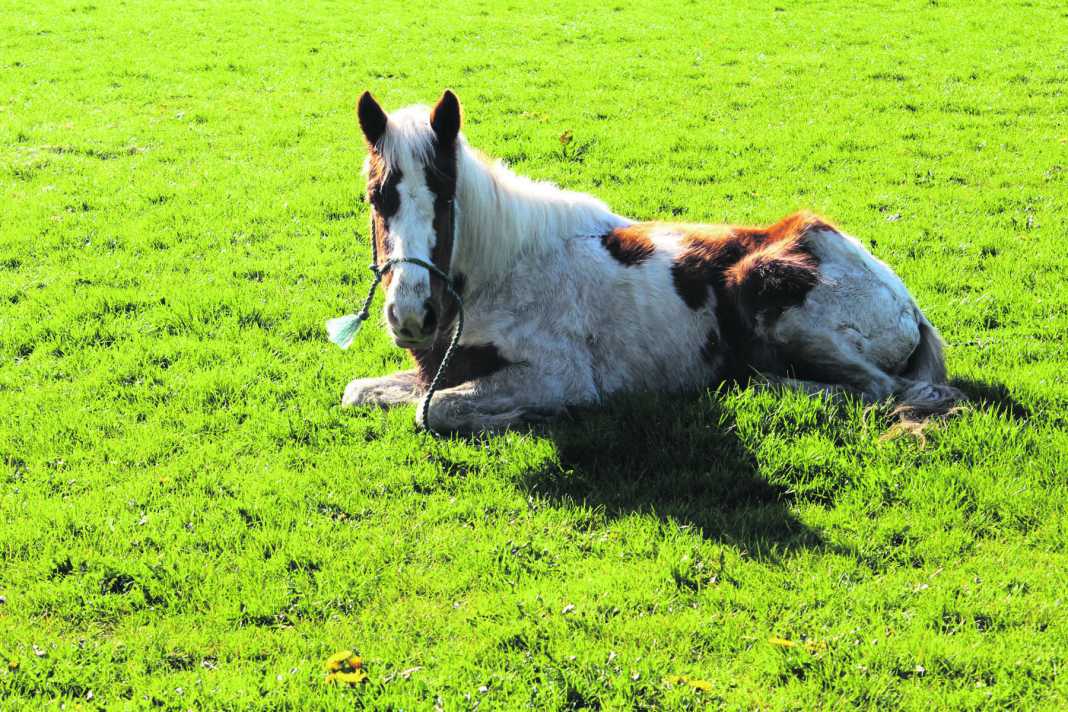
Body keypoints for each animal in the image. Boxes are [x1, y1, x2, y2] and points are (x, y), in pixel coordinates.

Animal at [338, 90, 963, 433]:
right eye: (377, 197)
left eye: (446, 196)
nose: (411, 315)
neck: (505, 271)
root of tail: (904, 302)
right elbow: (364, 392)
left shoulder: (556, 375)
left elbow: (433, 411)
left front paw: (521, 419)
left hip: (771, 289)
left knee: (879, 389)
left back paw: (759, 385)